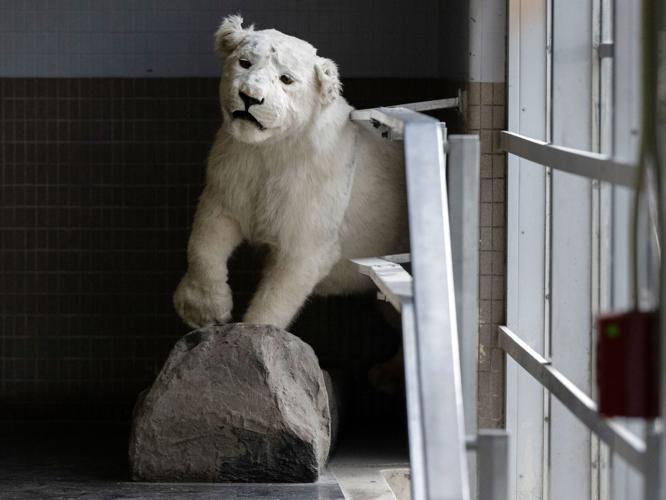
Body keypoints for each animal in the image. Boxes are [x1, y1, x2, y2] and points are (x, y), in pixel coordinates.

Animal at [173, 15, 408, 331]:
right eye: (244, 62)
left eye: (286, 79)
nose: (250, 97)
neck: (271, 150)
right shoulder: (234, 171)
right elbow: (206, 241)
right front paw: (204, 312)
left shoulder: (311, 214)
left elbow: (281, 289)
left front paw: (254, 333)